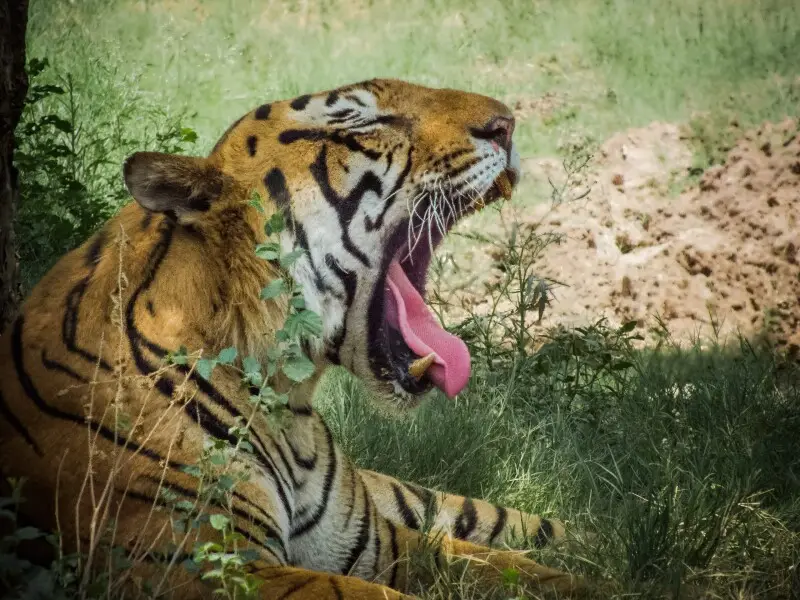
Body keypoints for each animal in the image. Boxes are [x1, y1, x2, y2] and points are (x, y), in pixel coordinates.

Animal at [0, 79, 583, 599]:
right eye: (360, 121)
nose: (506, 125)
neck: (288, 400)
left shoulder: (379, 544)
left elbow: (518, 570)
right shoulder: (203, 567)